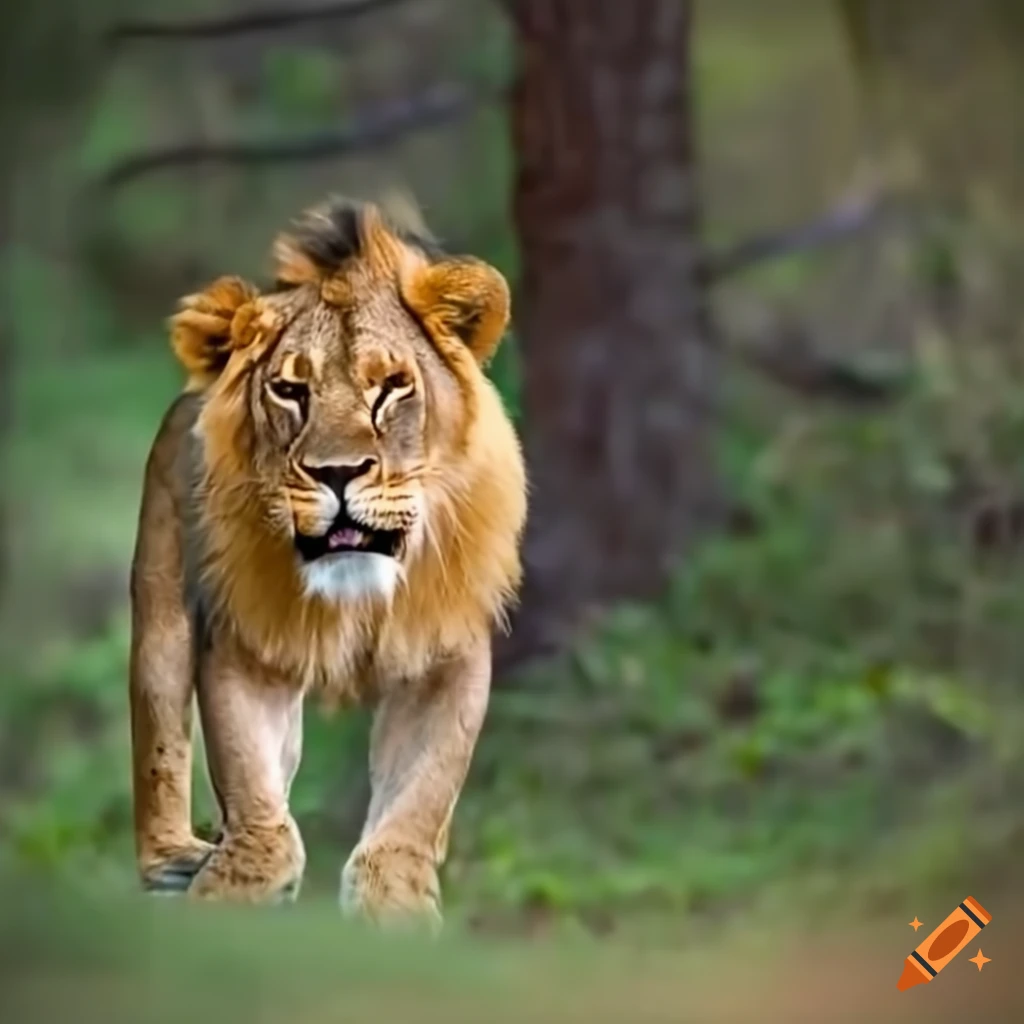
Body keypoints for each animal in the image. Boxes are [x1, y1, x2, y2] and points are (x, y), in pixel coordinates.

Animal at [128, 195, 526, 927]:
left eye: (392, 388)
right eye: (290, 392)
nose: (337, 473)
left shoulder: (447, 654)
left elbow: (422, 792)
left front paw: (397, 900)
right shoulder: (244, 650)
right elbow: (253, 787)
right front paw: (239, 881)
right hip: (160, 606)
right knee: (160, 737)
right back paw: (174, 861)